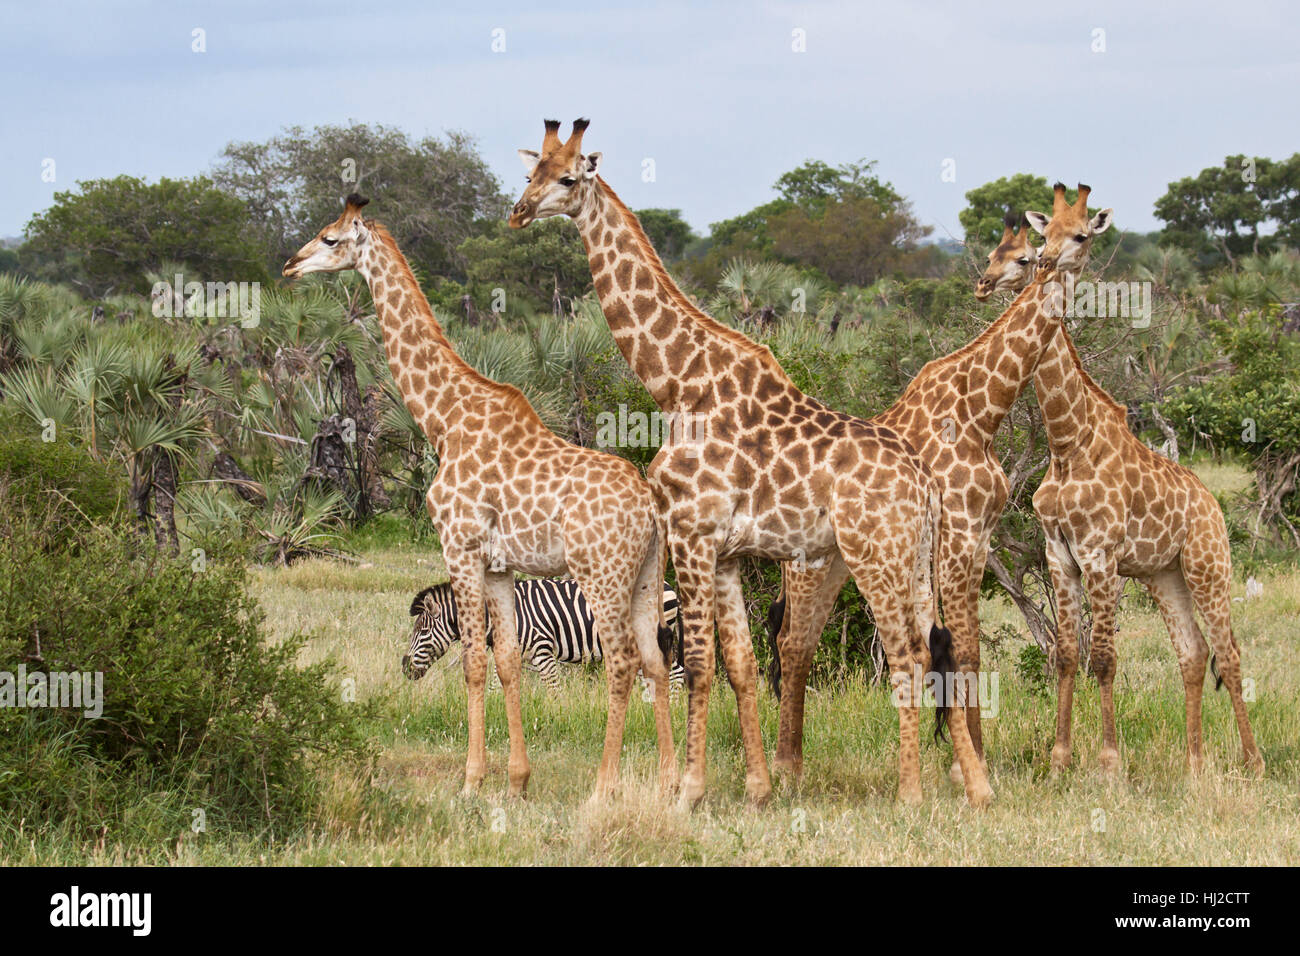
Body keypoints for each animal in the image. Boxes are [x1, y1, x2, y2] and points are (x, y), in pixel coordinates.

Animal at [402, 578, 685, 693]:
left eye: (422, 631)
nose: (404, 668)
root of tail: (668, 585)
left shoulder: (543, 649)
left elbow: (553, 690)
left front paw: (557, 718)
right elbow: (496, 684)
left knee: (675, 674)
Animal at [509, 119, 992, 808]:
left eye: (569, 177)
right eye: (532, 172)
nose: (520, 211)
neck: (677, 385)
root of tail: (924, 484)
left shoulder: (692, 534)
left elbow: (697, 663)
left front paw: (689, 789)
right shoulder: (728, 552)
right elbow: (740, 663)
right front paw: (759, 787)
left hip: (874, 554)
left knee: (907, 655)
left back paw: (911, 793)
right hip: (917, 554)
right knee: (940, 647)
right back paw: (976, 786)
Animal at [977, 183, 1263, 775]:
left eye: (1081, 235)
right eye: (1042, 234)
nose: (986, 282)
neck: (1068, 442)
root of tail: (1213, 504)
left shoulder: (1101, 552)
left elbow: (1105, 658)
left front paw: (1110, 762)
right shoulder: (1060, 553)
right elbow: (1067, 654)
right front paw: (1060, 757)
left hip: (1208, 566)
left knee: (1229, 652)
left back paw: (1253, 761)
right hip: (1165, 575)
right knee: (1193, 652)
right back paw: (1193, 764)